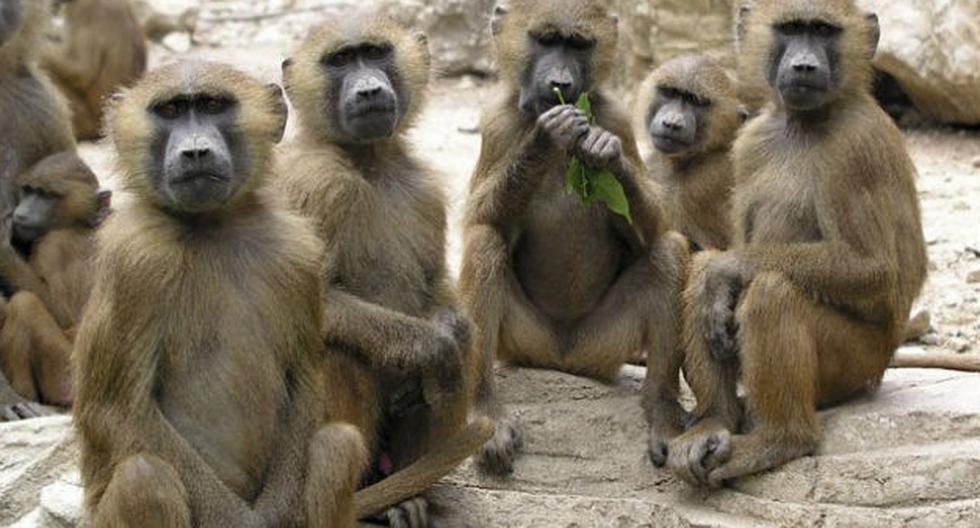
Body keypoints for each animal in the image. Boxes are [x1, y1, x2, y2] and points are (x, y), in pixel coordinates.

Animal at [0, 152, 110, 412]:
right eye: (29, 190)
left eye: (46, 195)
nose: (20, 212)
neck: (77, 225)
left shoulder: (51, 245)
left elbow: (63, 314)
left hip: (66, 373)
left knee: (24, 303)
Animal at [73, 60, 369, 527]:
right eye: (170, 110)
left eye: (213, 106)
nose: (195, 152)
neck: (212, 226)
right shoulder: (134, 261)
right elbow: (118, 409)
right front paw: (242, 521)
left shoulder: (300, 253)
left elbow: (303, 383)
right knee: (146, 479)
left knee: (336, 446)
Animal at [277, 13, 493, 527]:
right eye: (340, 60)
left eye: (375, 53)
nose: (370, 90)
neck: (369, 161)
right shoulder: (314, 188)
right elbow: (318, 301)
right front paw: (437, 350)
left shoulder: (425, 191)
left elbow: (438, 286)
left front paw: (448, 331)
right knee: (341, 354)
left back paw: (410, 493)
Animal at [458, 0, 689, 475]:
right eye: (546, 40)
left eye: (578, 44)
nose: (562, 84)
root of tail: (562, 358)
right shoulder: (497, 124)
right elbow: (480, 218)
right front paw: (546, 136)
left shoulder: (618, 117)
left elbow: (653, 229)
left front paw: (603, 152)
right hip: (524, 342)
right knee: (483, 243)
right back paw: (487, 414)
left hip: (603, 346)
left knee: (669, 252)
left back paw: (664, 415)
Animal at [664, 0, 932, 487]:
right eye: (790, 29)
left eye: (823, 31)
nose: (804, 65)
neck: (802, 121)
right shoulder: (748, 143)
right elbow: (728, 249)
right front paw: (717, 280)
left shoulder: (855, 149)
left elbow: (873, 268)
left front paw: (725, 273)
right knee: (703, 269)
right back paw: (716, 420)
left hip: (857, 364)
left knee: (773, 291)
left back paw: (781, 438)